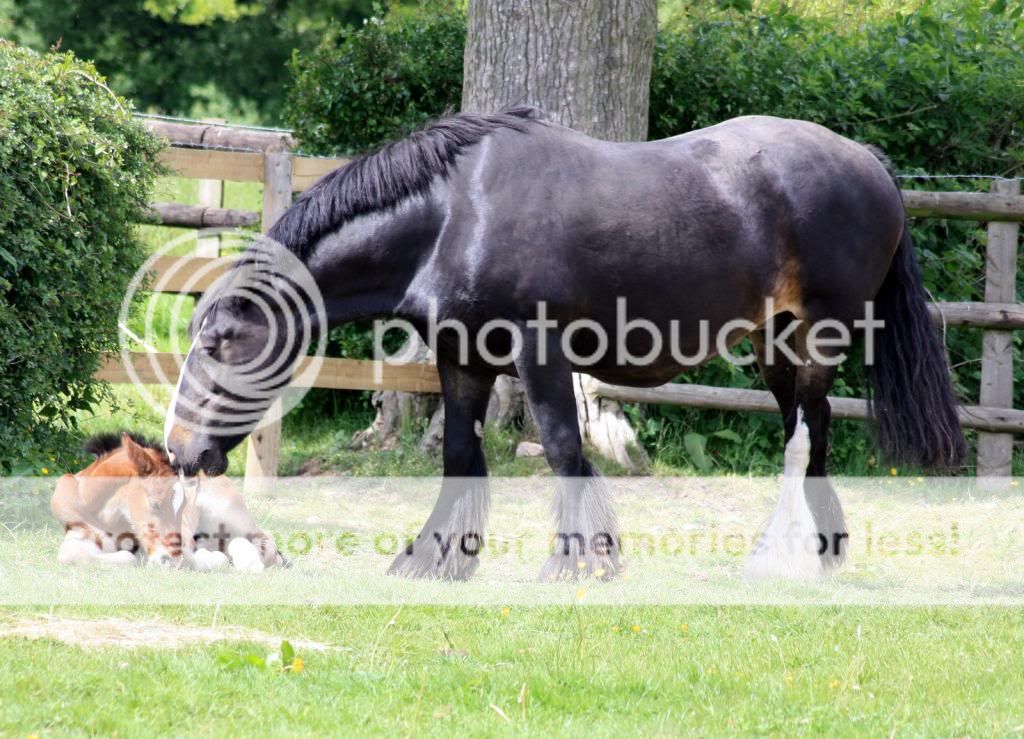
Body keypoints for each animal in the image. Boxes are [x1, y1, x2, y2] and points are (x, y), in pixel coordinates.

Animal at [165, 107, 965, 582]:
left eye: (220, 340)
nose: (177, 449)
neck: (455, 213)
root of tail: (866, 160)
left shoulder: (538, 350)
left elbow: (561, 448)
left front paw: (582, 562)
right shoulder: (463, 355)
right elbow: (460, 454)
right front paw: (436, 558)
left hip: (817, 336)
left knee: (802, 439)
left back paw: (777, 558)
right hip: (776, 342)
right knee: (816, 431)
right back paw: (822, 556)